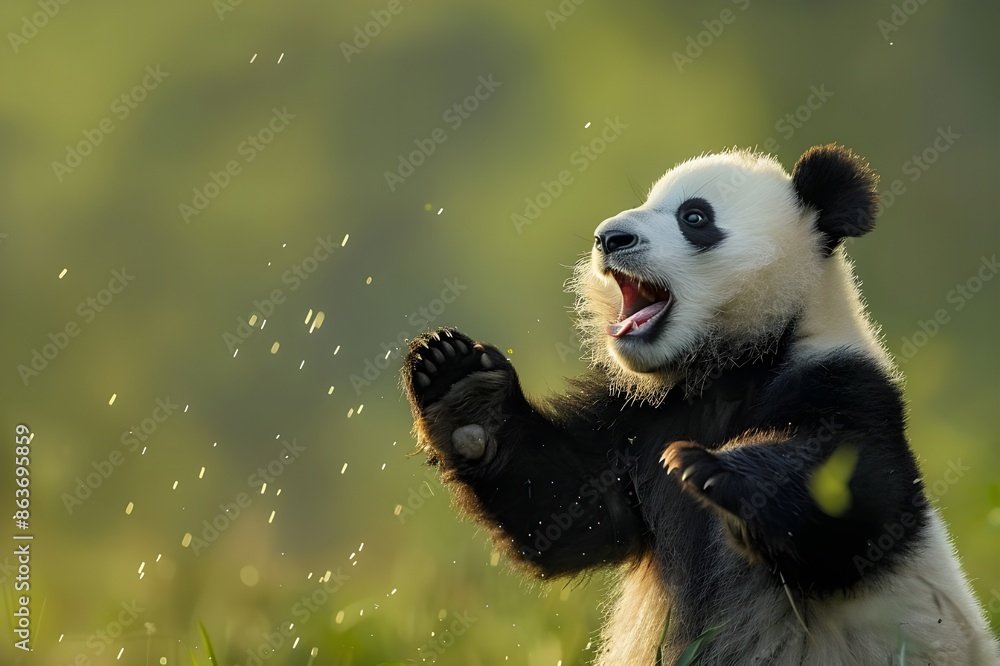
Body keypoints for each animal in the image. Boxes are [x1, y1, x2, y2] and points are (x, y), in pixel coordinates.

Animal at [401, 145, 999, 664]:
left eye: (695, 216)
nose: (609, 237)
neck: (728, 365)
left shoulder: (843, 382)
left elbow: (857, 501)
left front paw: (712, 470)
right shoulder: (637, 417)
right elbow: (568, 509)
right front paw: (460, 386)